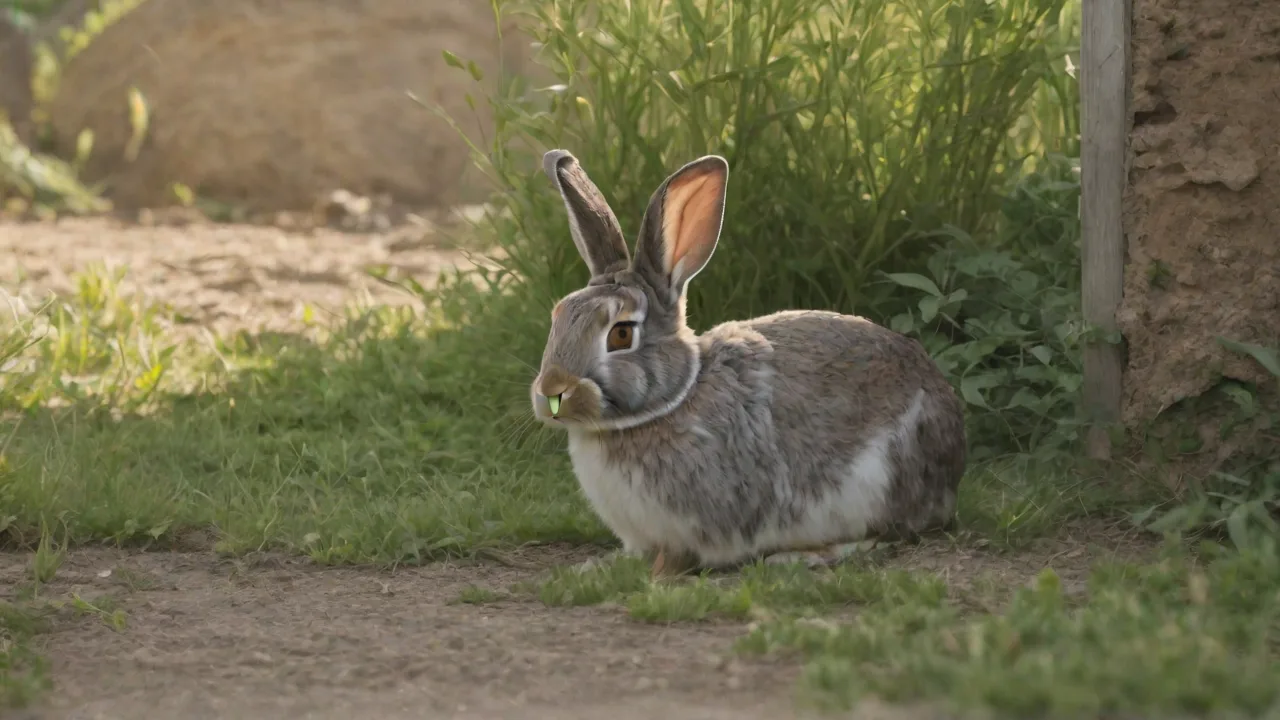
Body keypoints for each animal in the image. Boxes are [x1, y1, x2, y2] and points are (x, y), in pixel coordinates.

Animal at [530, 149, 967, 575]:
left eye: (621, 334)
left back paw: (802, 556)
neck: (670, 402)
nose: (552, 390)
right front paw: (594, 566)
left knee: (890, 534)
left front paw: (658, 575)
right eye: (559, 316)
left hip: (881, 479)